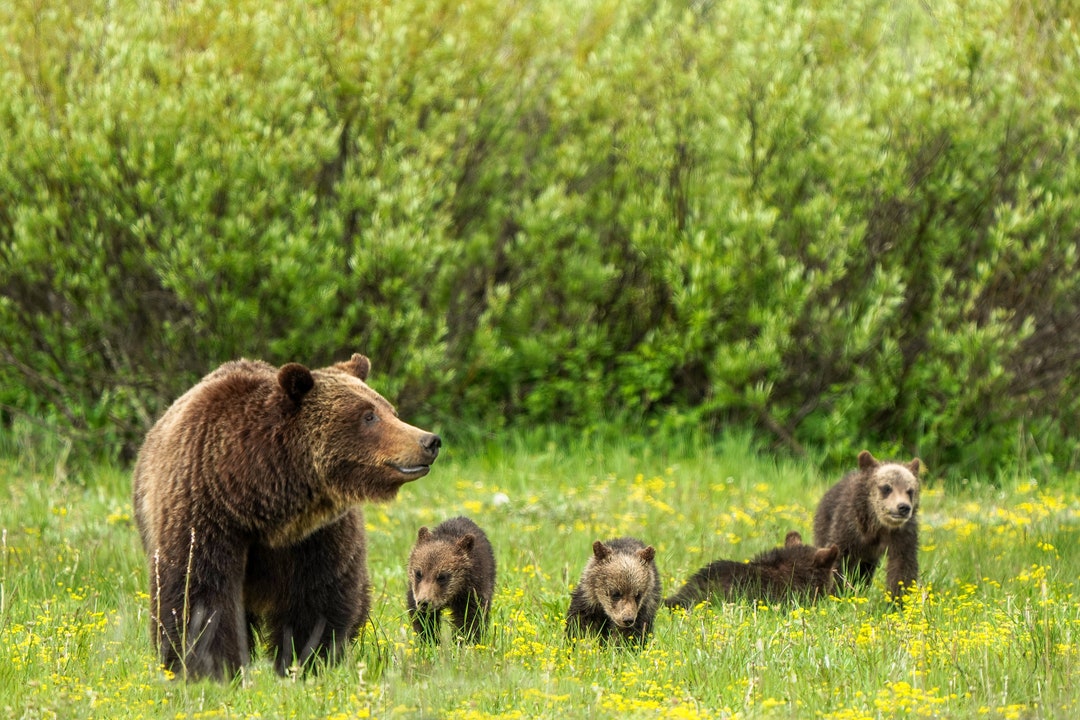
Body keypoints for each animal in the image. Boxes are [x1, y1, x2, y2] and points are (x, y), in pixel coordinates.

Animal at [132, 353, 441, 681]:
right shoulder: (204, 510)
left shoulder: (317, 535)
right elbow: (199, 589)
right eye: (368, 415)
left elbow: (317, 598)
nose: (429, 441)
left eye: (390, 410)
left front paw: (306, 661)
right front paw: (210, 667)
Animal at [406, 516, 496, 644]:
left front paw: (464, 641)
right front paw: (429, 640)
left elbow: (470, 618)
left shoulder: (472, 591)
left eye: (442, 576)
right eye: (418, 573)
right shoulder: (415, 593)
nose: (424, 602)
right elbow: (422, 620)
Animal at [813, 450, 921, 603]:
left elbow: (902, 566)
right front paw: (836, 594)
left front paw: (896, 600)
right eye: (887, 487)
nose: (903, 507)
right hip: (824, 524)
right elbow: (839, 559)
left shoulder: (902, 535)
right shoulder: (848, 526)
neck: (877, 524)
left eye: (910, 490)